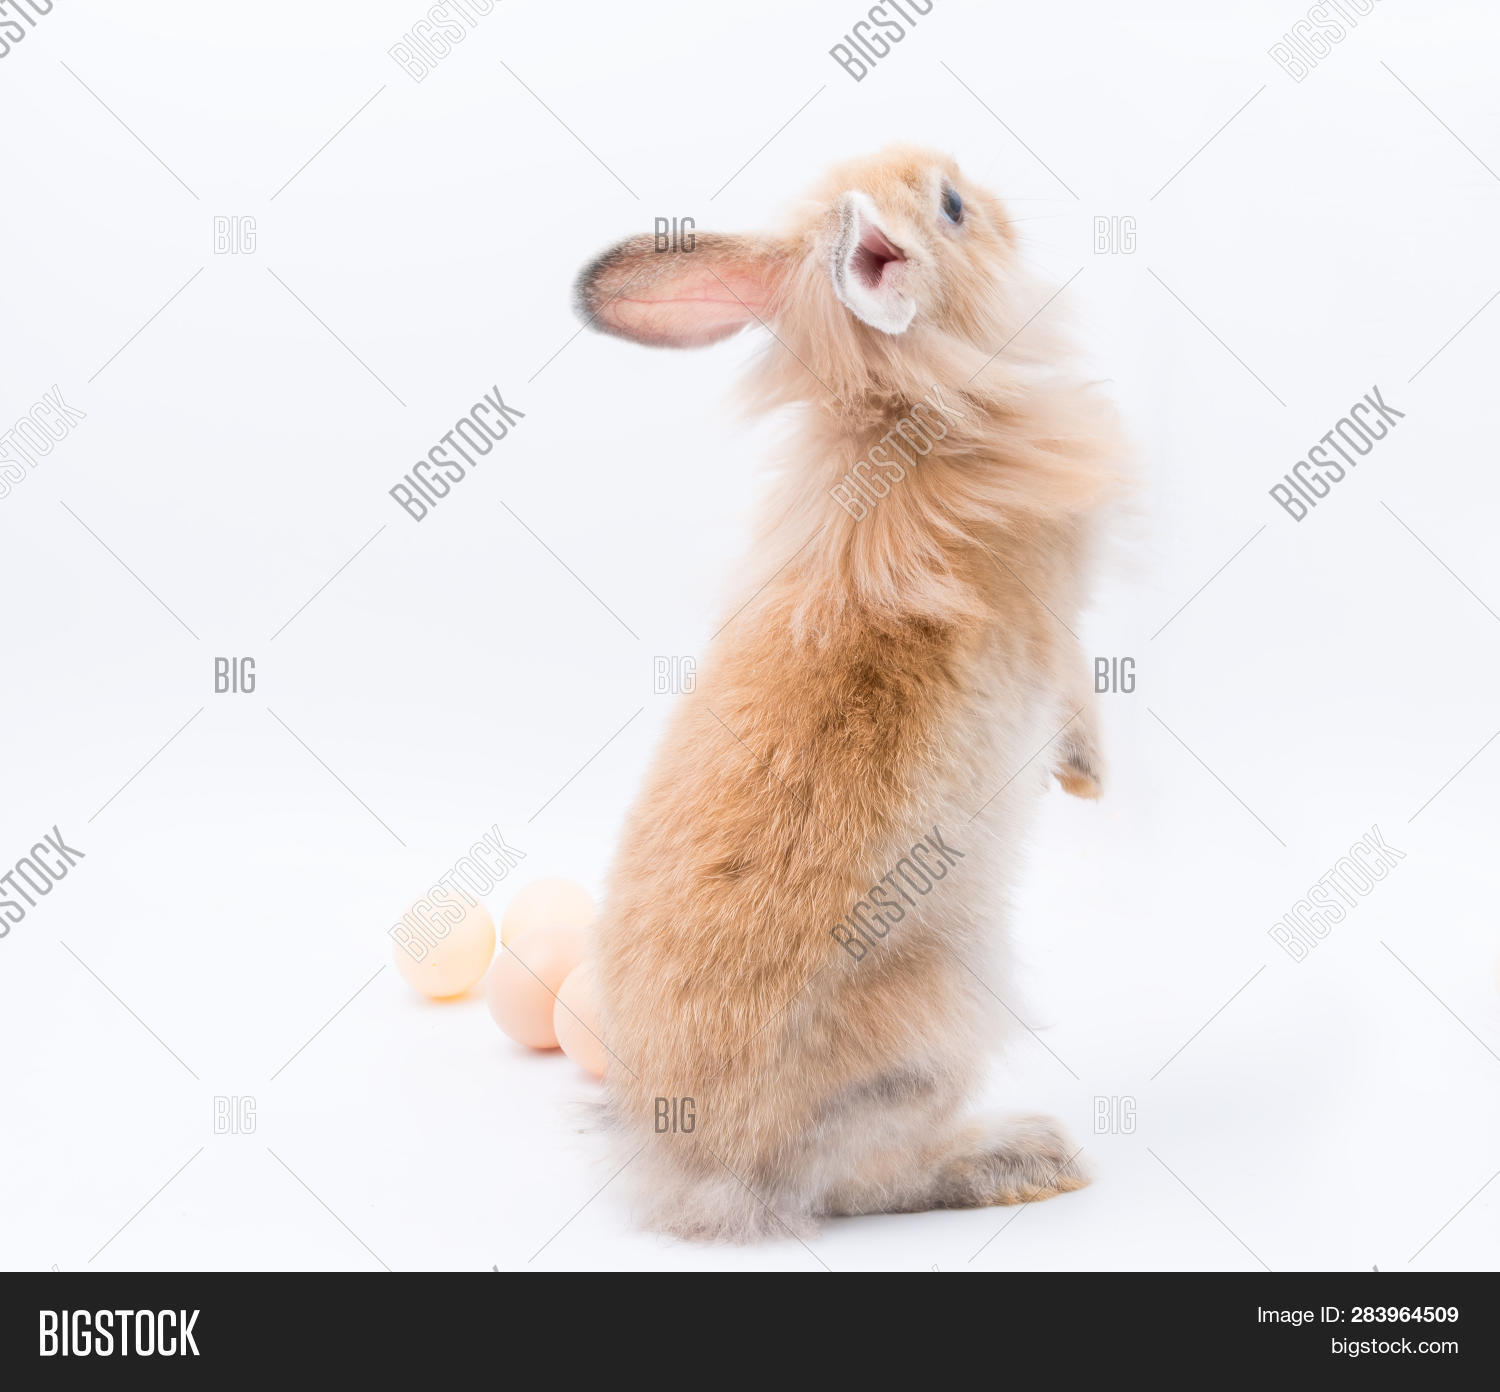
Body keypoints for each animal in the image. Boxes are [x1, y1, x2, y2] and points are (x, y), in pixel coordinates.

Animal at [573, 144, 1125, 1241]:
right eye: (951, 208)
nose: (971, 180)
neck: (904, 405)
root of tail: (699, 1176)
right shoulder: (1056, 624)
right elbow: (1075, 686)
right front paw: (1091, 776)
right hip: (936, 1019)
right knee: (860, 1183)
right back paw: (1025, 1156)